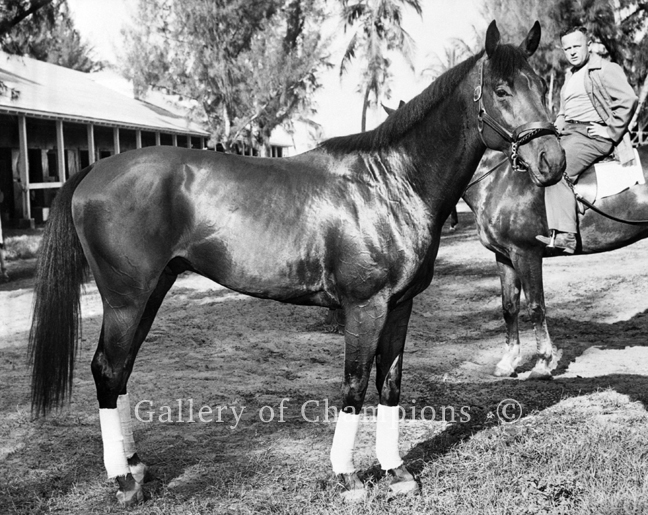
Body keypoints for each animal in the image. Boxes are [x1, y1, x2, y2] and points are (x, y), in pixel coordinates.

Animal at [28, 21, 564, 506]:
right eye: (501, 90)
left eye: (542, 84)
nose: (551, 160)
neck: (390, 184)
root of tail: (94, 169)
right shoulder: (364, 307)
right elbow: (354, 384)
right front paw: (348, 477)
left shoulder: (400, 306)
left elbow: (389, 383)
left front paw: (396, 472)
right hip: (125, 299)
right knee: (106, 370)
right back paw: (122, 481)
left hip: (152, 292)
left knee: (121, 372)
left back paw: (136, 466)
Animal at [462, 146, 648, 379]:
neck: (501, 180)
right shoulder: (504, 256)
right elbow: (509, 307)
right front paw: (507, 362)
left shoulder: (526, 254)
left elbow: (536, 307)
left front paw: (542, 364)